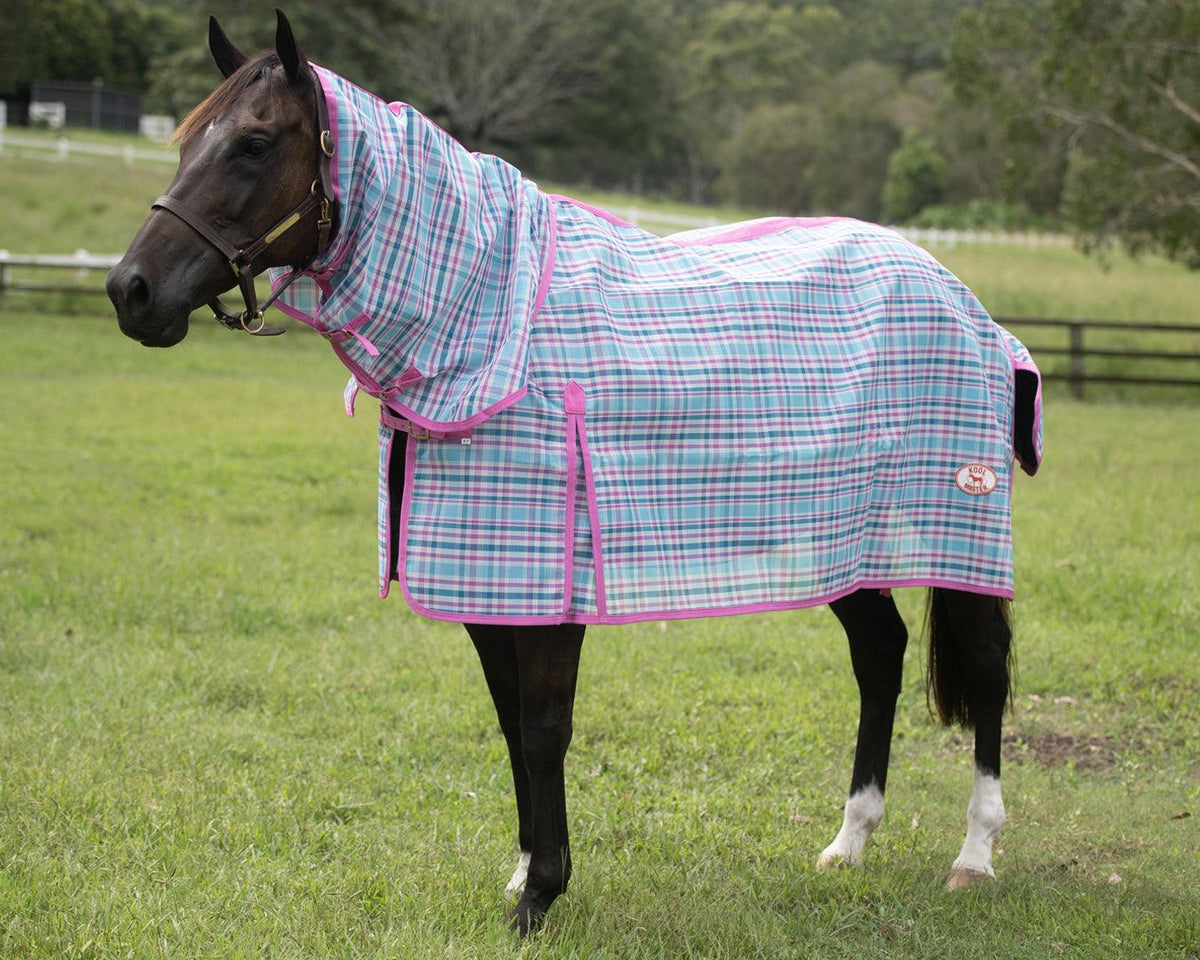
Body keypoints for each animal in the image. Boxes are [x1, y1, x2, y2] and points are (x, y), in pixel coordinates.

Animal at [107, 11, 1043, 937]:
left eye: (256, 143)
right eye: (187, 142)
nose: (130, 291)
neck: (489, 321)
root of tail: (965, 302)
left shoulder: (548, 594)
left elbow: (545, 728)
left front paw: (543, 894)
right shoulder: (487, 582)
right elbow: (510, 724)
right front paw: (525, 871)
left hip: (955, 529)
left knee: (987, 667)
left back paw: (974, 856)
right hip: (844, 539)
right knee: (879, 653)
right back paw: (849, 842)